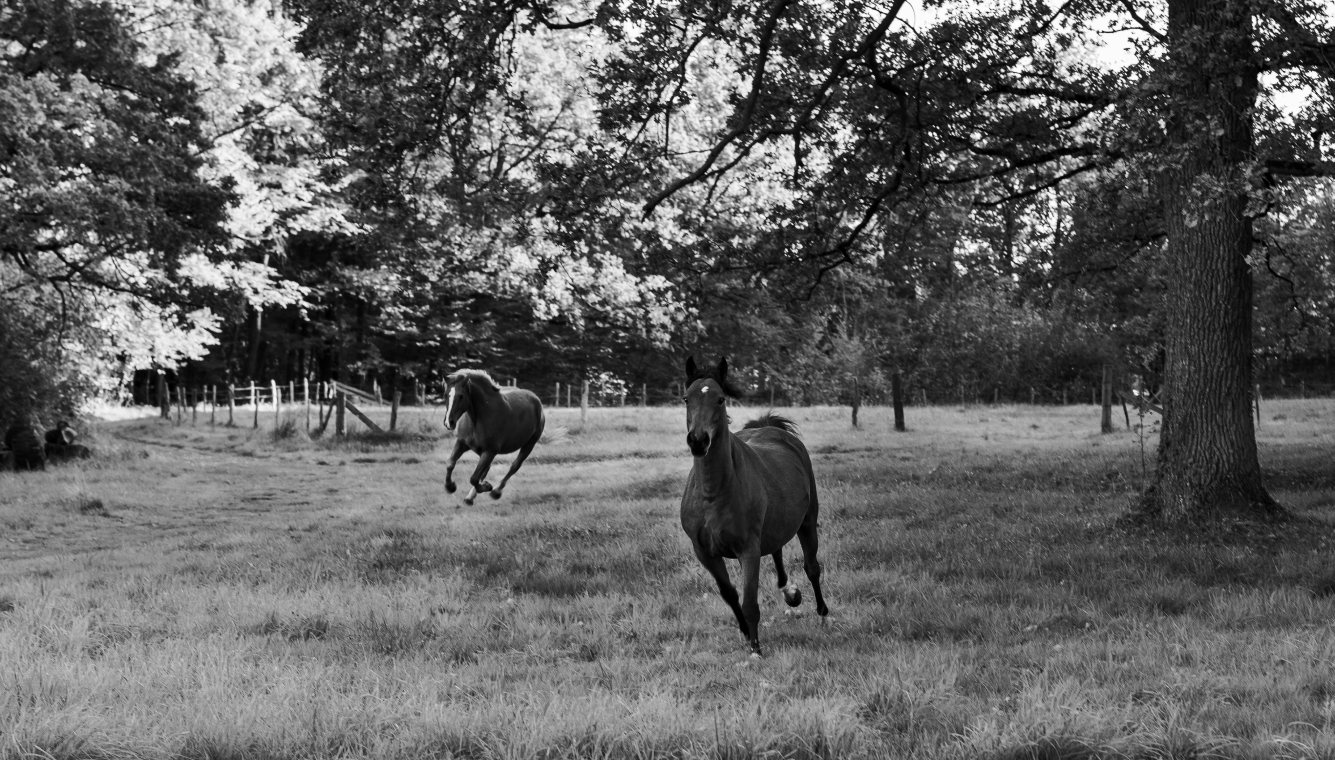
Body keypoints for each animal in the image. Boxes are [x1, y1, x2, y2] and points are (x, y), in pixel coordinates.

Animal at [442, 369, 545, 506]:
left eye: (461, 396)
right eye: (445, 394)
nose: (449, 422)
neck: (478, 418)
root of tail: (536, 399)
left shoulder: (490, 451)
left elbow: (474, 478)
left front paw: (486, 486)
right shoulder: (462, 443)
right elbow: (450, 463)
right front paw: (450, 487)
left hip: (529, 444)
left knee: (515, 466)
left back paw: (495, 491)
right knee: (486, 469)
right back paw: (470, 497)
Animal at [679, 355, 829, 657]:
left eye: (720, 399)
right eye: (687, 398)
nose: (698, 440)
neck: (713, 494)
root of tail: (770, 427)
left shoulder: (748, 549)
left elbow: (749, 601)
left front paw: (756, 650)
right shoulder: (705, 552)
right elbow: (730, 594)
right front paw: (747, 633)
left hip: (808, 522)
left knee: (812, 567)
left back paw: (821, 614)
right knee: (777, 549)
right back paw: (789, 592)